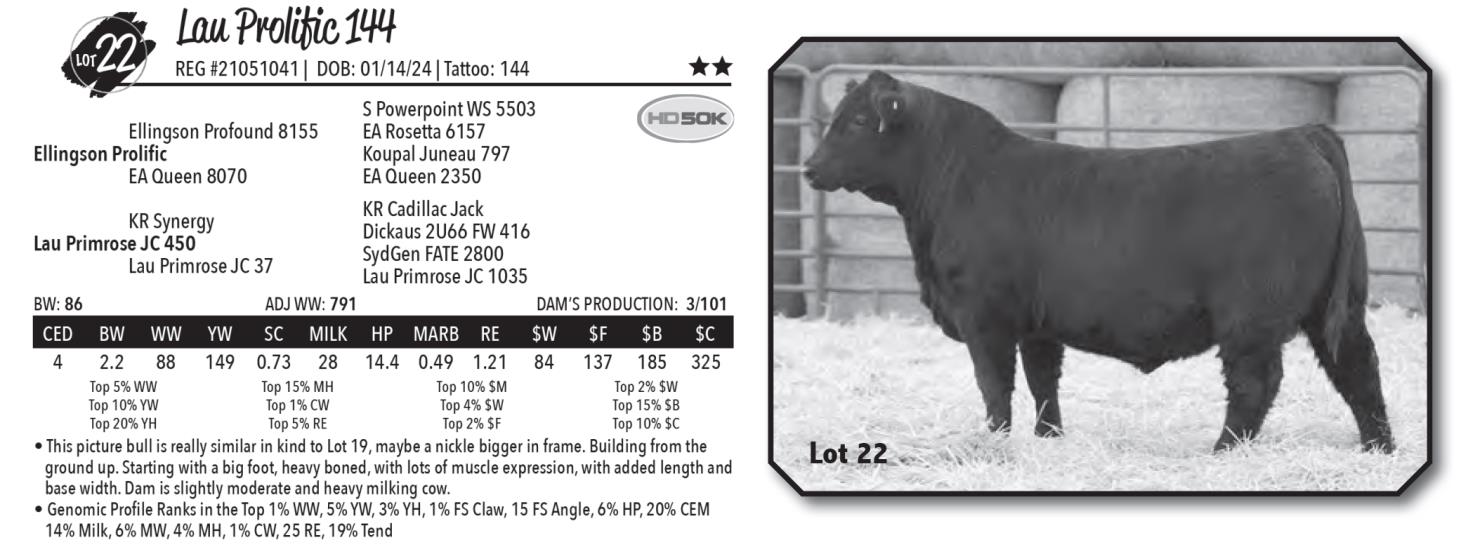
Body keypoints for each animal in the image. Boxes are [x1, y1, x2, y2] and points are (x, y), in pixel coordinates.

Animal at [802, 70, 1395, 453]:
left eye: (859, 121)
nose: (809, 168)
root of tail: (1301, 134)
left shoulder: (984, 315)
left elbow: (994, 384)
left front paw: (994, 443)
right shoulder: (1036, 323)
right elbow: (1043, 381)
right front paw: (1049, 439)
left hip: (1251, 317)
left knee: (1256, 382)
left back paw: (1224, 450)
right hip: (1340, 305)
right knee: (1358, 367)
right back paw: (1378, 447)